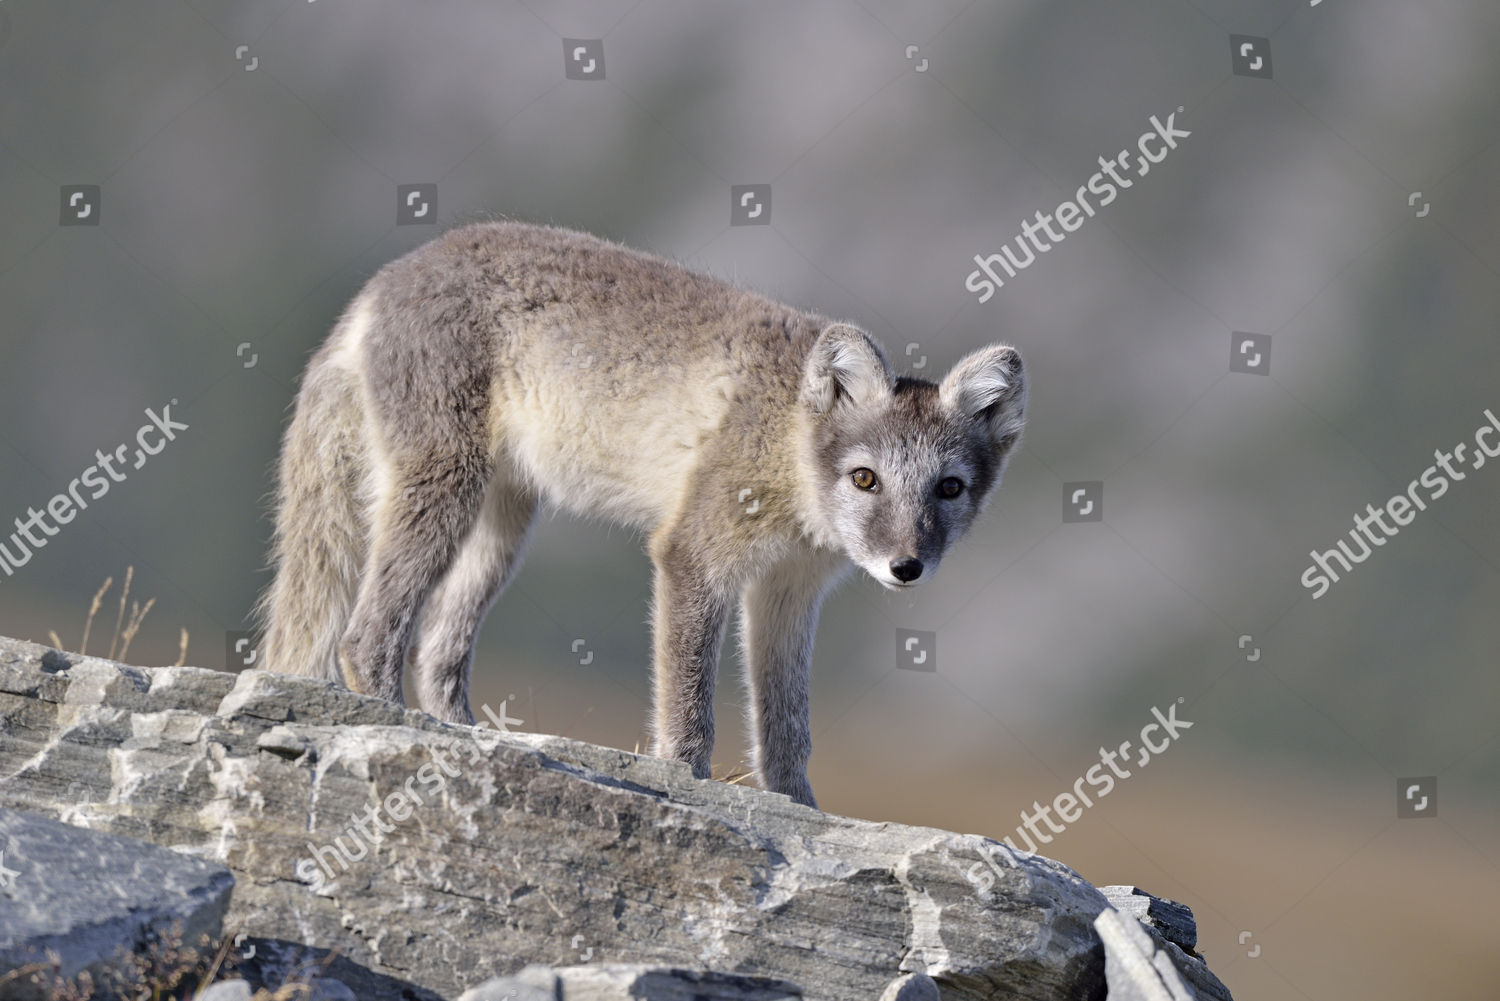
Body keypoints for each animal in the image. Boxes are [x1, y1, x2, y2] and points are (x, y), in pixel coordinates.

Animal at [257, 220, 1026, 808]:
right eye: (866, 478)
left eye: (948, 488)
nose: (906, 566)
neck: (785, 439)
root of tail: (383, 283)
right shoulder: (693, 554)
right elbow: (689, 704)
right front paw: (686, 782)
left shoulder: (787, 594)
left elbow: (787, 726)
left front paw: (799, 807)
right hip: (443, 491)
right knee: (366, 636)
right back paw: (392, 726)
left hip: (501, 529)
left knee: (438, 654)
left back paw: (469, 736)